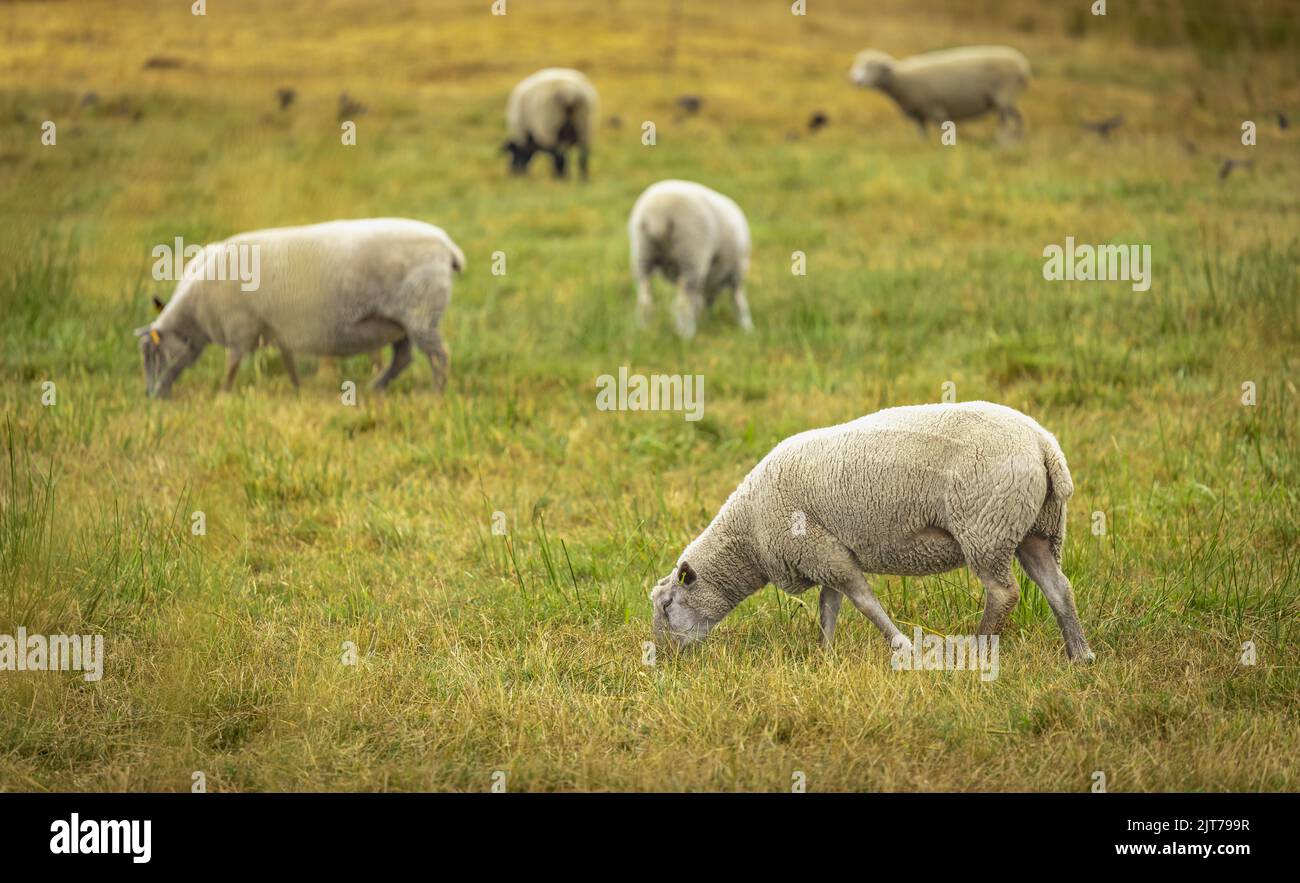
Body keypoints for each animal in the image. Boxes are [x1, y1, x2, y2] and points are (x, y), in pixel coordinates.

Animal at [134, 218, 464, 399]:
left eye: (153, 353)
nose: (151, 396)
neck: (195, 314)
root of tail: (446, 246)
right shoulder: (277, 329)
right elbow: (289, 363)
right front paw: (297, 391)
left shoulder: (240, 328)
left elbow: (231, 366)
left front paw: (223, 396)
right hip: (400, 323)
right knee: (404, 358)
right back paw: (377, 387)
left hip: (420, 315)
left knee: (440, 355)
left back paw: (437, 394)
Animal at [628, 179, 753, 339]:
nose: (708, 312)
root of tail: (658, 216)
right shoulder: (739, 268)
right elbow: (738, 299)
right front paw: (747, 327)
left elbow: (697, 301)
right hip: (691, 254)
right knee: (683, 304)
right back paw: (686, 335)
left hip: (643, 255)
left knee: (644, 300)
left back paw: (644, 330)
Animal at [649, 401, 1095, 663]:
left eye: (667, 605)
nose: (662, 658)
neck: (749, 535)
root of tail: (1044, 445)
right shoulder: (825, 551)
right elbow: (829, 608)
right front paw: (824, 656)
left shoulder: (819, 550)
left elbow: (863, 602)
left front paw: (902, 646)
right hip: (1035, 529)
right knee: (1058, 588)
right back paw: (1080, 655)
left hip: (986, 526)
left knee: (1004, 593)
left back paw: (977, 650)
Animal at [848, 45, 1031, 139]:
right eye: (857, 64)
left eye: (871, 66)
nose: (855, 80)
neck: (900, 78)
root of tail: (1023, 66)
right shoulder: (919, 115)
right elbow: (922, 134)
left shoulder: (934, 108)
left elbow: (941, 130)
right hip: (1007, 99)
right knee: (1017, 118)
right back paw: (1016, 141)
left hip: (1005, 93)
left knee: (1009, 122)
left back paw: (1003, 143)